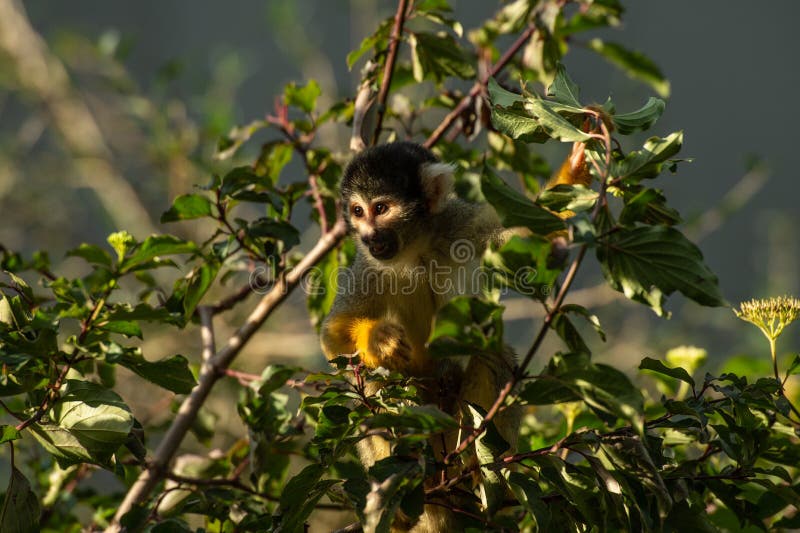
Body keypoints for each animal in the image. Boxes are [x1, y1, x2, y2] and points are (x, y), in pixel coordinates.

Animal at [320, 142, 521, 532]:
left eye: (381, 209)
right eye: (358, 211)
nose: (368, 235)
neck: (416, 246)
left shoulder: (462, 222)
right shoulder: (368, 264)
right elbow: (334, 333)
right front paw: (377, 339)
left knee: (488, 355)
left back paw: (480, 471)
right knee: (374, 381)